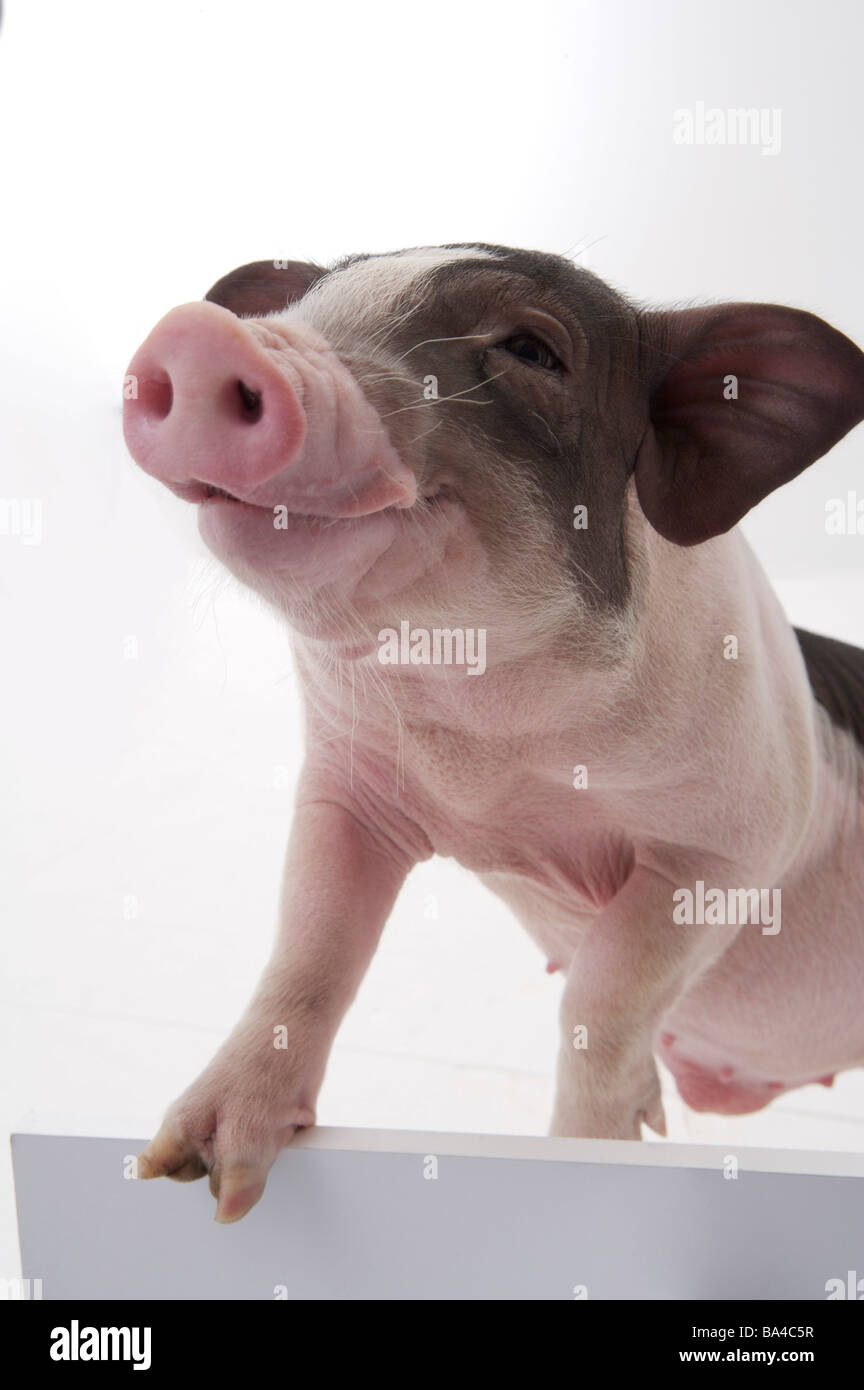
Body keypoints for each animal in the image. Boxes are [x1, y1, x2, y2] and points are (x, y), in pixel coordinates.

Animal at [122, 244, 864, 1223]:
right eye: (312, 301)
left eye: (531, 348)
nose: (198, 333)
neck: (491, 757)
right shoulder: (345, 788)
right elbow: (310, 945)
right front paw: (189, 1174)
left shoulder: (741, 838)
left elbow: (605, 990)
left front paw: (596, 1154)